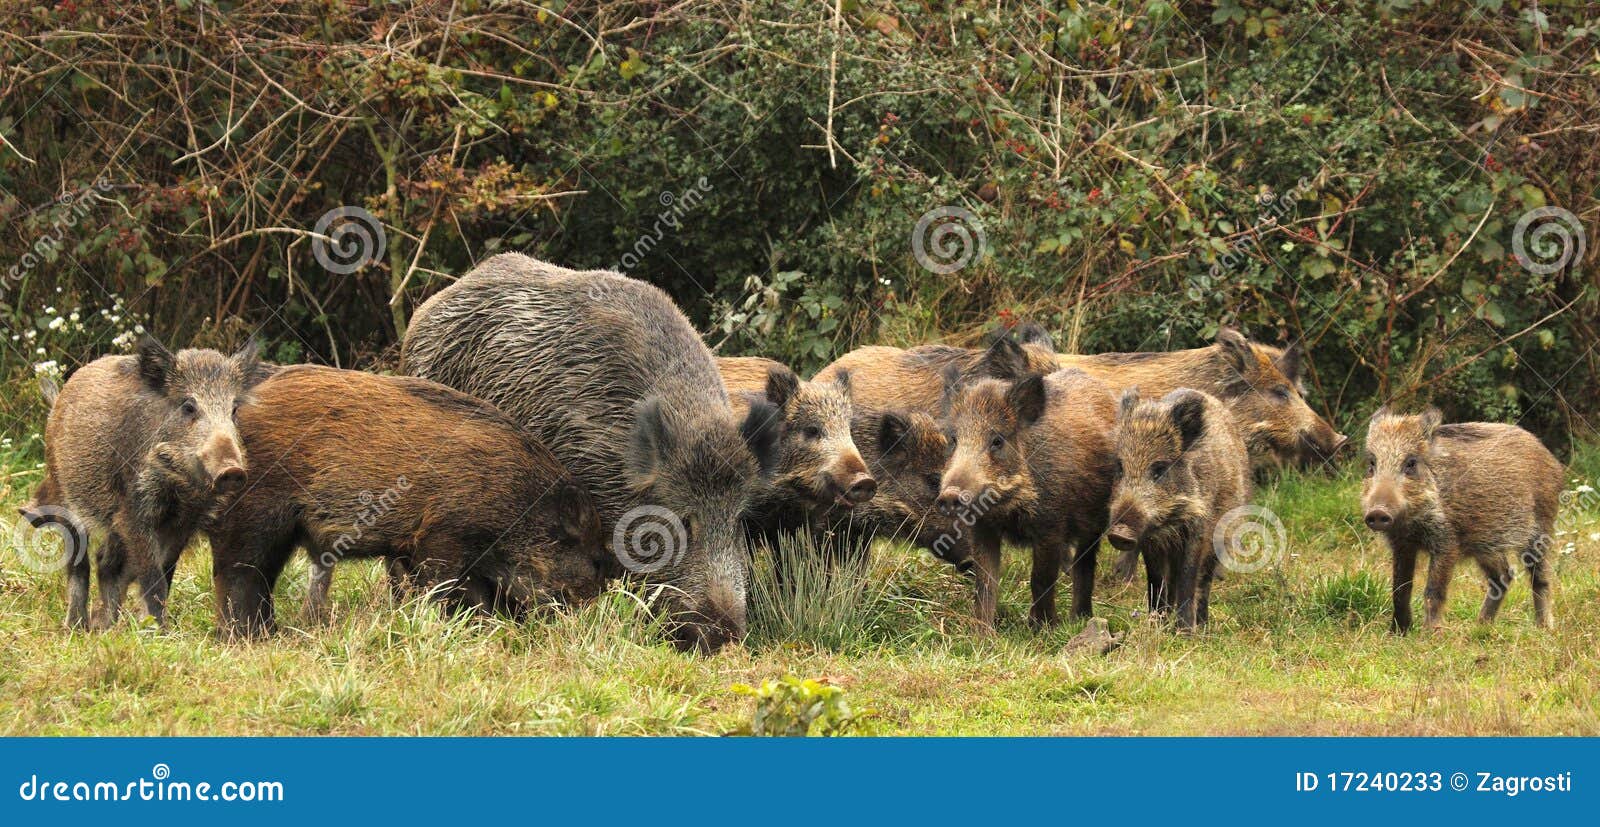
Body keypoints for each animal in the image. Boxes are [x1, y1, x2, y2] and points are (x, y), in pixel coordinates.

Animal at [19, 337, 266, 629]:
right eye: (188, 406)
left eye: (233, 410)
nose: (232, 471)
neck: (179, 487)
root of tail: (59, 399)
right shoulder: (133, 510)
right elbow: (151, 576)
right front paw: (160, 631)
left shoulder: (183, 523)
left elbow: (165, 574)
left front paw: (150, 627)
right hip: (66, 493)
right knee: (79, 564)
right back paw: (77, 627)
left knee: (105, 562)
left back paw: (105, 627)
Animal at [207, 365, 606, 637]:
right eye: (594, 559)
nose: (590, 616)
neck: (516, 504)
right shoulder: (442, 534)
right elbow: (448, 588)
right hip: (257, 510)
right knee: (239, 570)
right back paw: (249, 636)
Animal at [936, 368, 1118, 628]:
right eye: (953, 439)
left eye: (997, 440)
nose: (950, 495)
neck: (1006, 510)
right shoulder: (982, 527)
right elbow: (985, 581)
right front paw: (981, 632)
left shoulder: (1052, 524)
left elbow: (1041, 578)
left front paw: (1043, 628)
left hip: (1095, 521)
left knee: (1085, 564)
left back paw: (1079, 619)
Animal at [1105, 388, 1251, 630]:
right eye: (1120, 467)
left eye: (1160, 469)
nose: (1119, 534)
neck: (1169, 522)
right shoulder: (1150, 539)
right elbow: (1156, 580)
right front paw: (1155, 626)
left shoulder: (1199, 531)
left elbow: (1188, 577)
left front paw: (1184, 632)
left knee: (1204, 580)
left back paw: (1203, 625)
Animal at [1360, 409, 1562, 633]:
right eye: (1372, 464)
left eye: (1411, 463)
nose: (1377, 512)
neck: (1411, 524)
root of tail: (1551, 459)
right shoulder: (1401, 545)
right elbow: (1400, 589)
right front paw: (1397, 633)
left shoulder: (1447, 542)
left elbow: (1433, 590)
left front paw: (1430, 634)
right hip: (1486, 545)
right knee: (1503, 575)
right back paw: (1481, 625)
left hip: (1541, 528)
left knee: (1540, 577)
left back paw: (1544, 627)